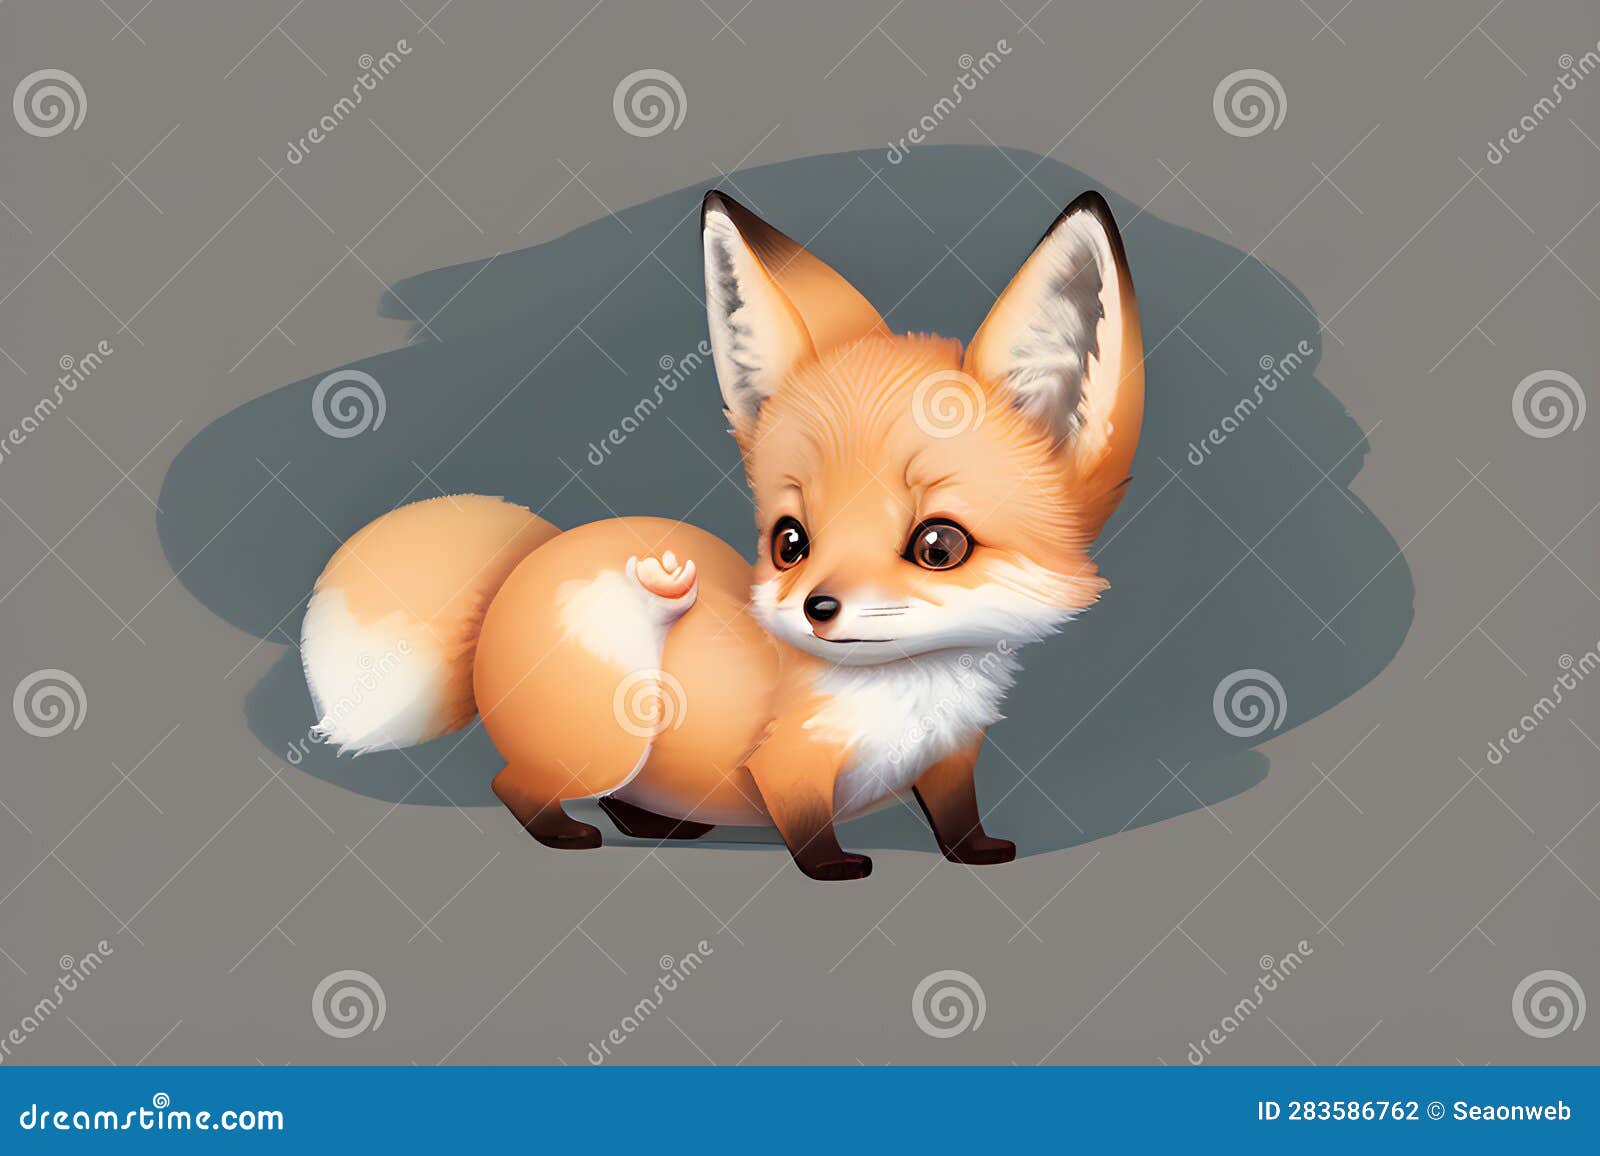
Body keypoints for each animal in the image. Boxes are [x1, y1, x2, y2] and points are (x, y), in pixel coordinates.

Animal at [301, 188, 1143, 881]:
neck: (906, 700)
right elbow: (806, 826)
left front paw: (978, 852)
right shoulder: (788, 767)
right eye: (790, 542)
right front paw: (833, 868)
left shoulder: (951, 759)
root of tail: (527, 559)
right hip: (605, 736)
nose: (816, 609)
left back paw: (652, 822)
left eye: (939, 547)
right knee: (512, 783)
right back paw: (569, 833)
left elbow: (957, 816)